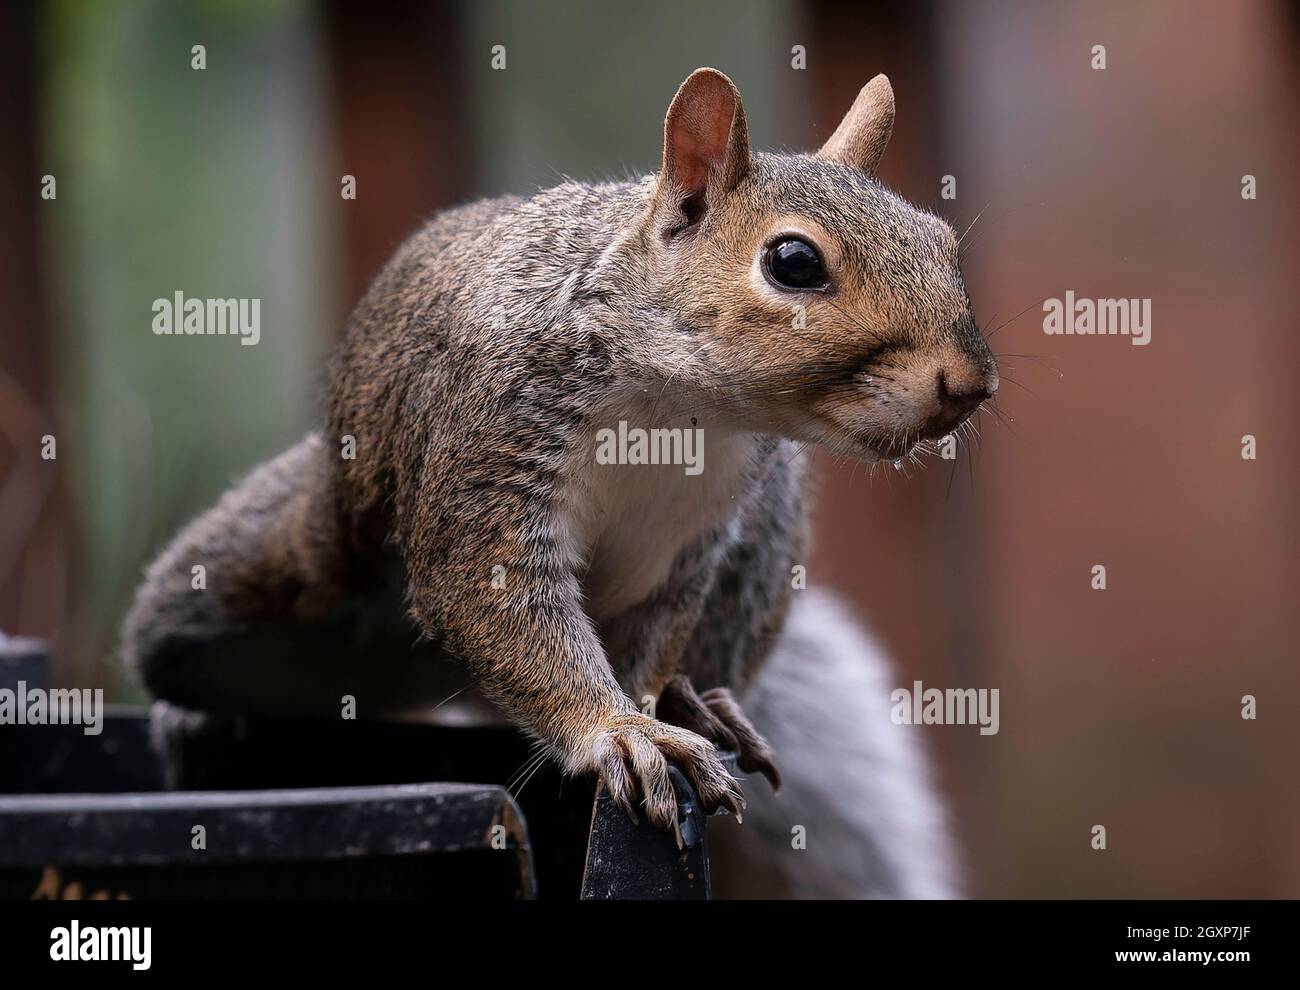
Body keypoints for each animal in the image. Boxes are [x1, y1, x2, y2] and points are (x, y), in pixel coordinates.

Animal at [122, 68, 997, 846]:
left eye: (940, 241)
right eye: (794, 262)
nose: (969, 385)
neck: (682, 408)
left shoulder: (692, 537)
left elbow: (653, 634)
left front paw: (651, 711)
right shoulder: (491, 442)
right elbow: (492, 591)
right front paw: (616, 730)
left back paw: (697, 700)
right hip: (297, 558)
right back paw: (188, 713)